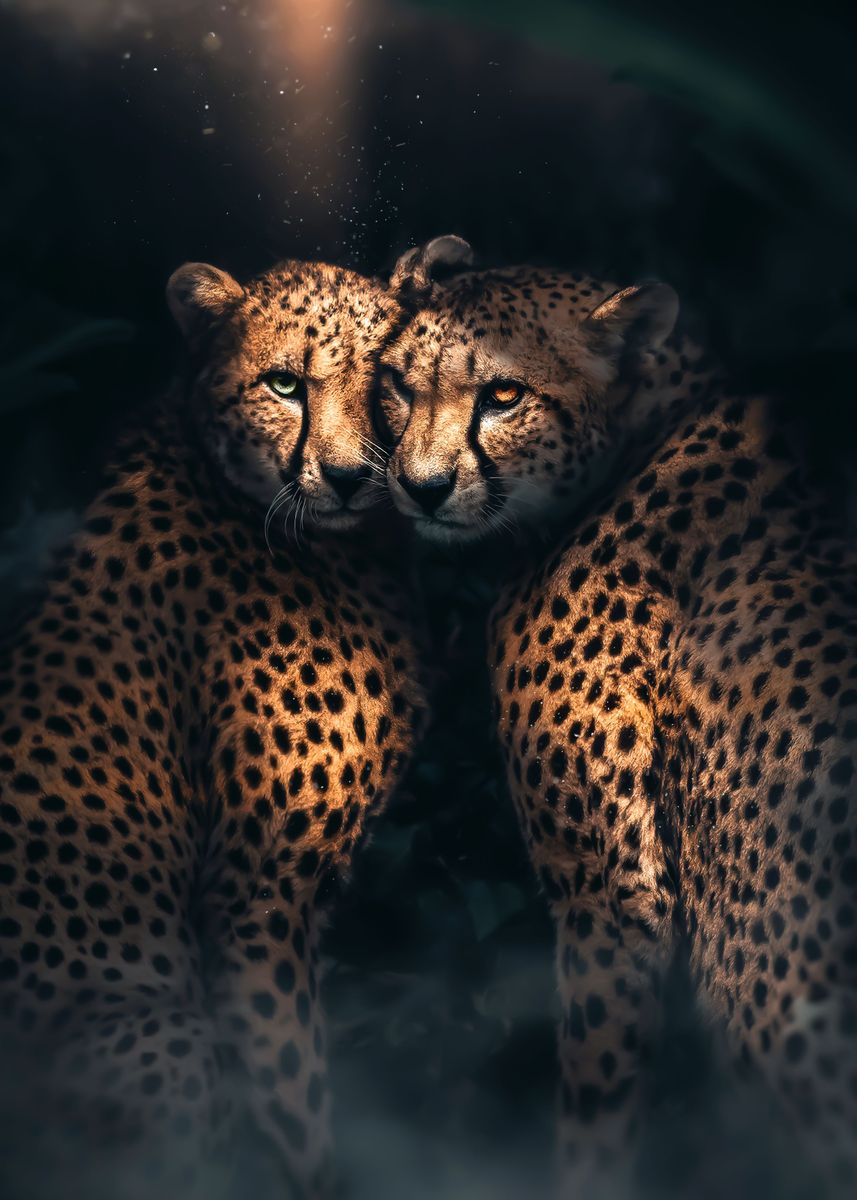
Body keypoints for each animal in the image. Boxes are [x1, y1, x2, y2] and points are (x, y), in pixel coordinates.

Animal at [0, 256, 427, 1200]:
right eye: (284, 384)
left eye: (386, 381)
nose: (349, 475)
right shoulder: (255, 899)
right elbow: (293, 1104)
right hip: (163, 1035)